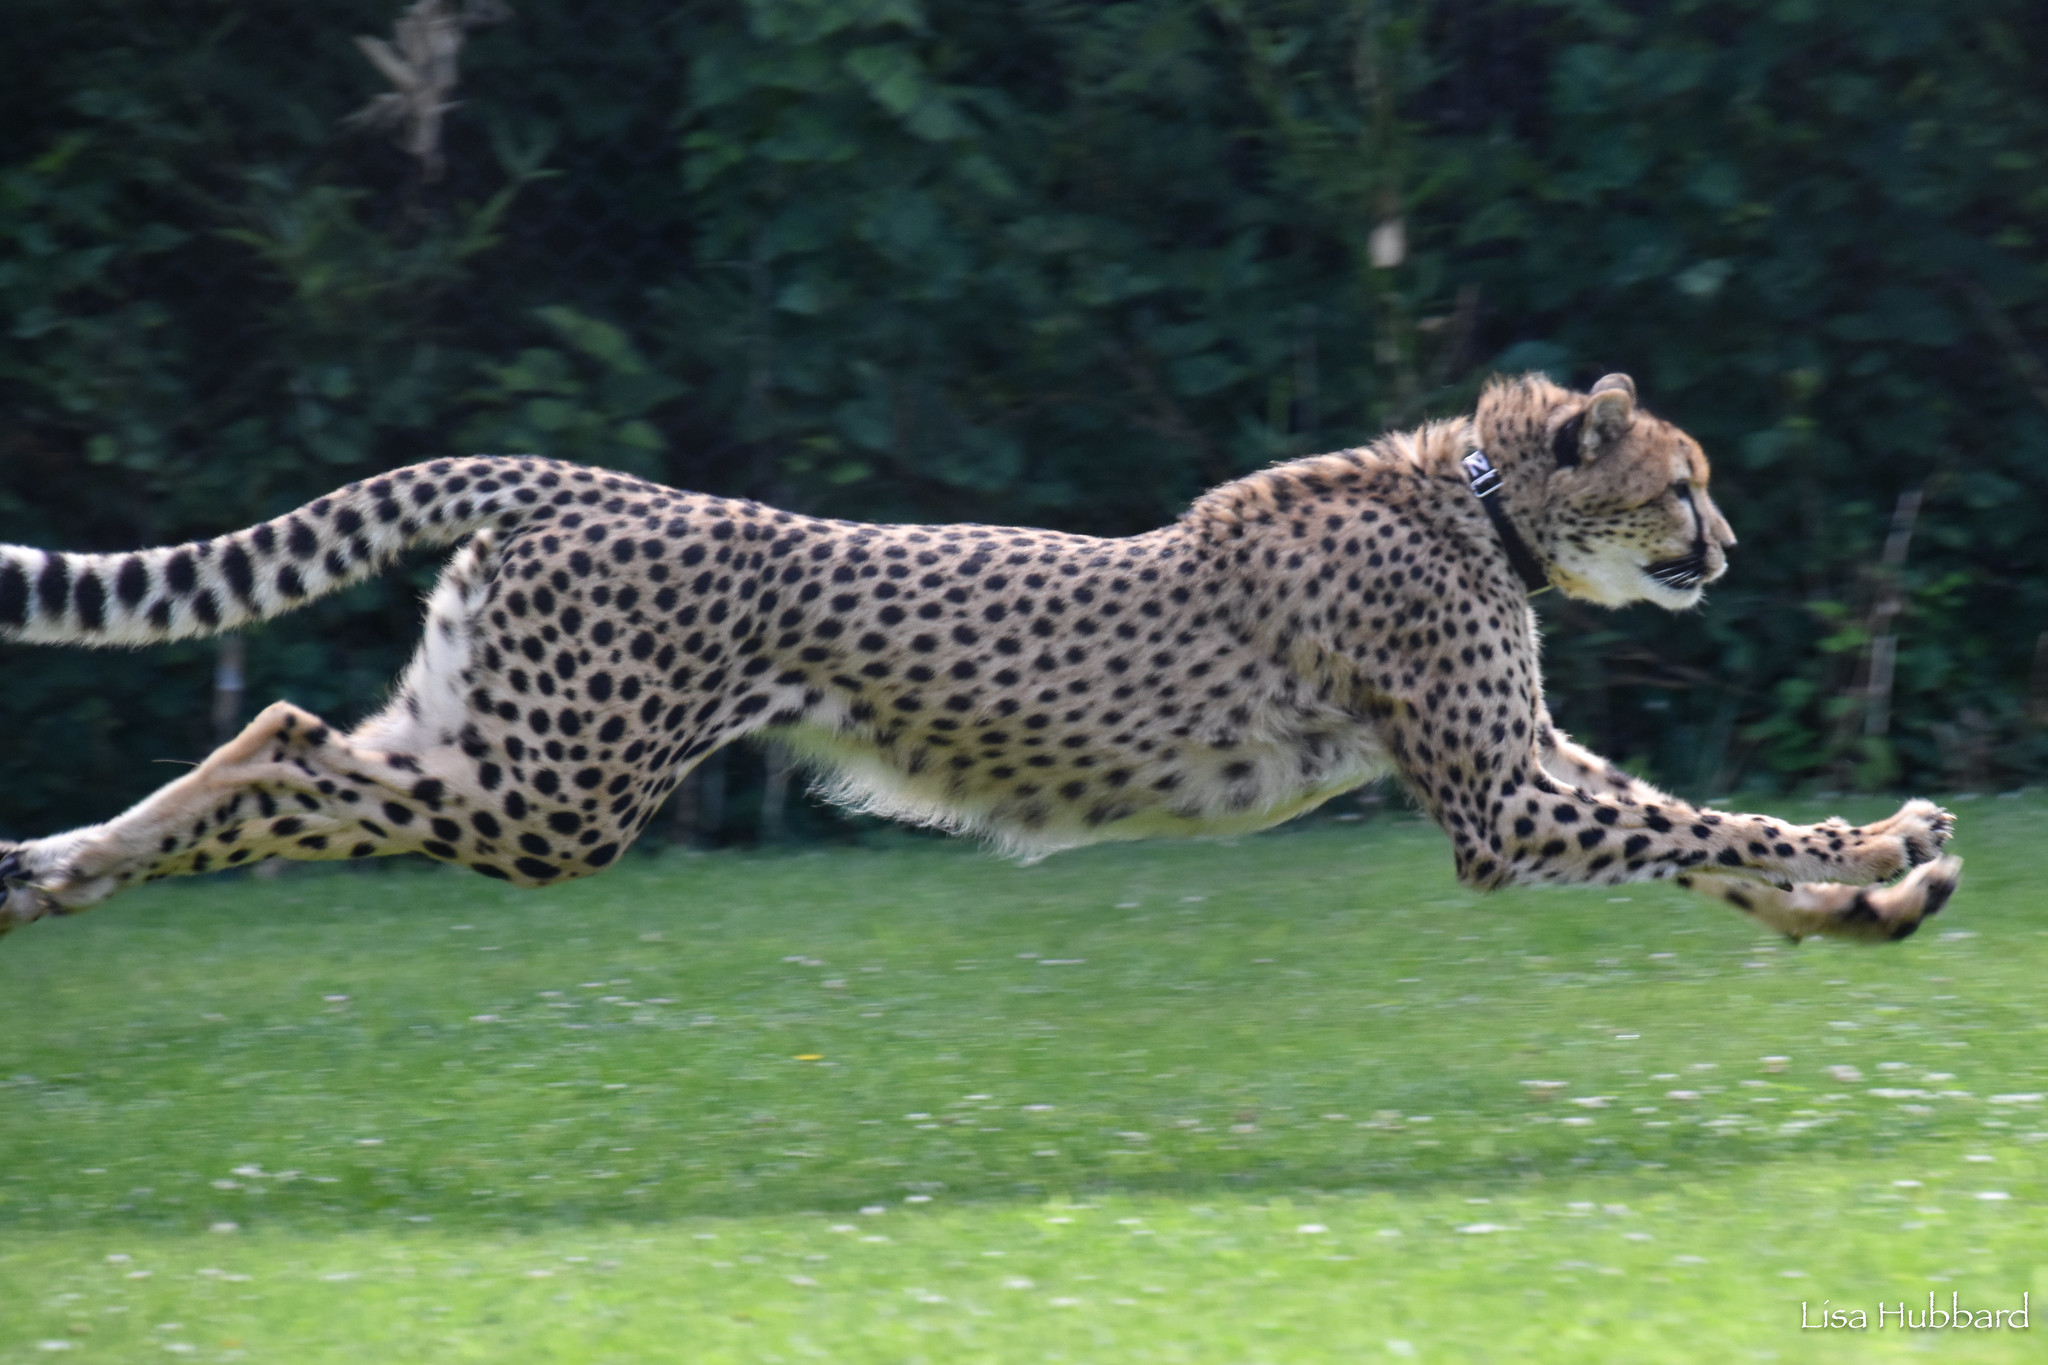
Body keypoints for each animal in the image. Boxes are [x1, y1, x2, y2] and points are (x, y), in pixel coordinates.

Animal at [0, 371, 1959, 945]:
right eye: (1682, 482)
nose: (1726, 546)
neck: (1471, 501)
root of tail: (581, 475)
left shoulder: (1518, 782)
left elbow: (1689, 837)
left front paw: (1855, 902)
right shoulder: (1496, 804)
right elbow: (1702, 818)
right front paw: (1877, 848)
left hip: (496, 753)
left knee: (279, 731)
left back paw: (52, 867)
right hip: (554, 793)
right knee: (275, 736)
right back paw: (60, 866)